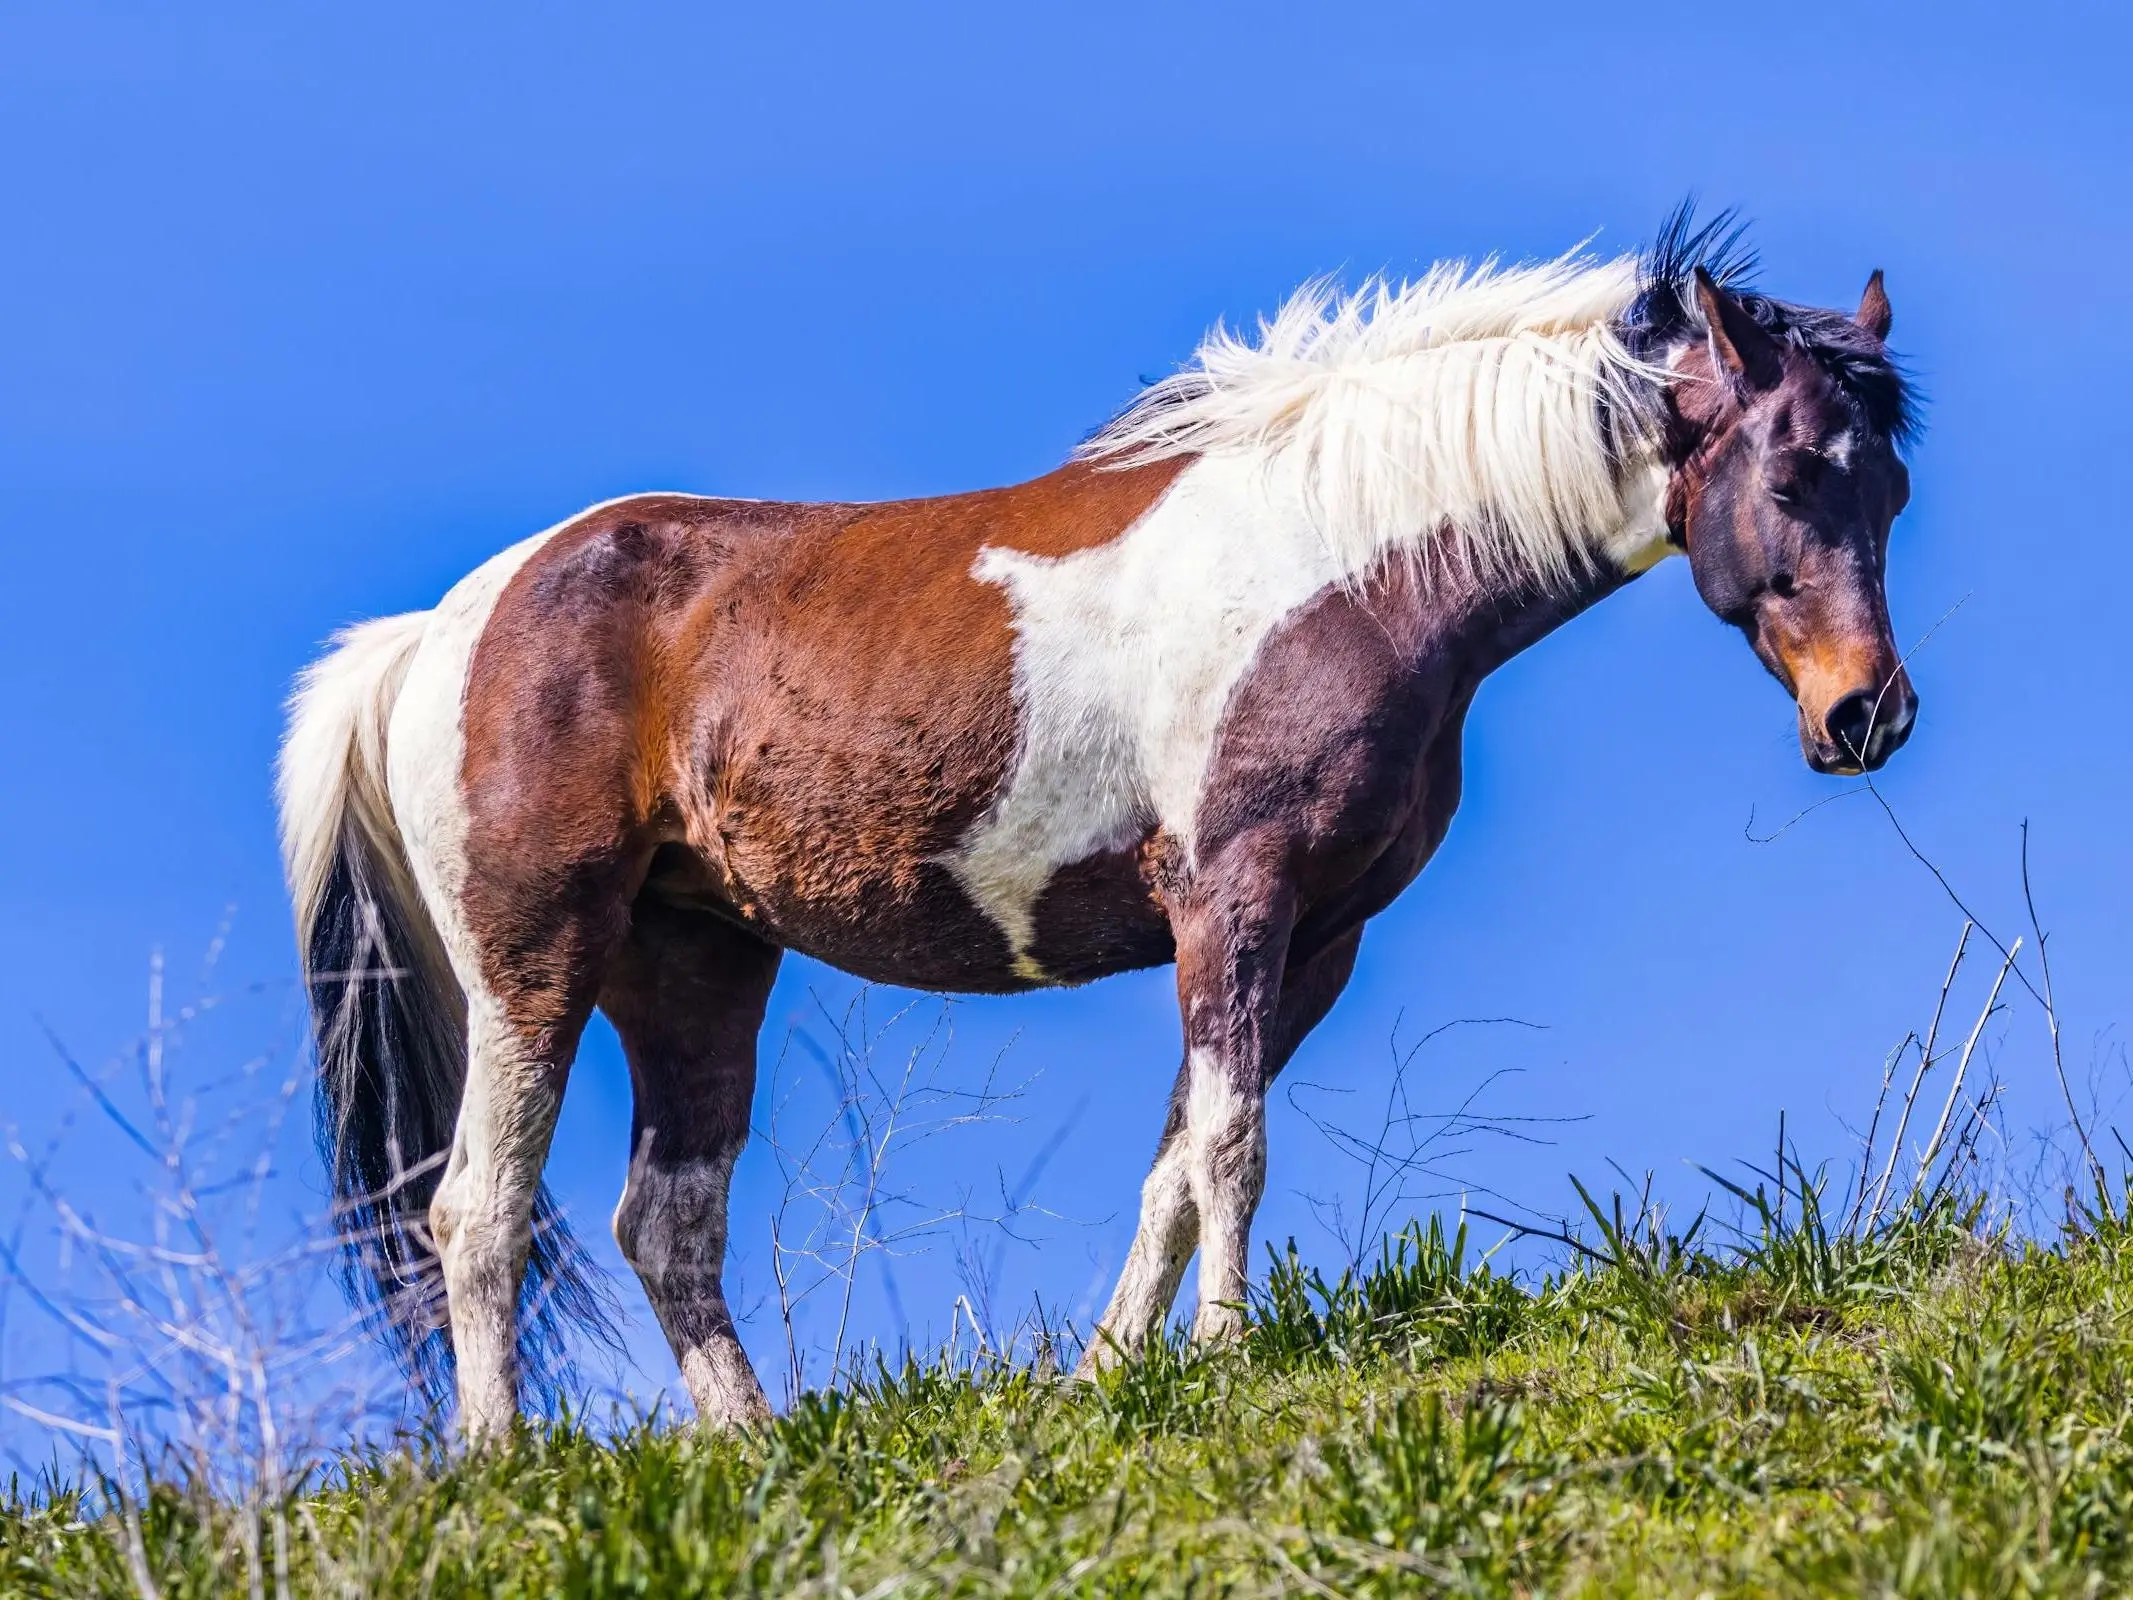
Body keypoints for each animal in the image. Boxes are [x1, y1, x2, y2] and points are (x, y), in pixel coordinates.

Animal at [277, 210, 1919, 1437]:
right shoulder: (1234, 900)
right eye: (1789, 476)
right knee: (479, 1212)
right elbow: (1231, 1147)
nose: (1866, 716)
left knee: (664, 1223)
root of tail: (437, 632)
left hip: (695, 964)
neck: (1347, 566)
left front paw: (1114, 1375)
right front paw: (1228, 1358)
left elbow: (1177, 1161)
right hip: (534, 960)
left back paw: (752, 1448)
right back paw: (502, 1460)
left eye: (1893, 487)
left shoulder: (1316, 938)